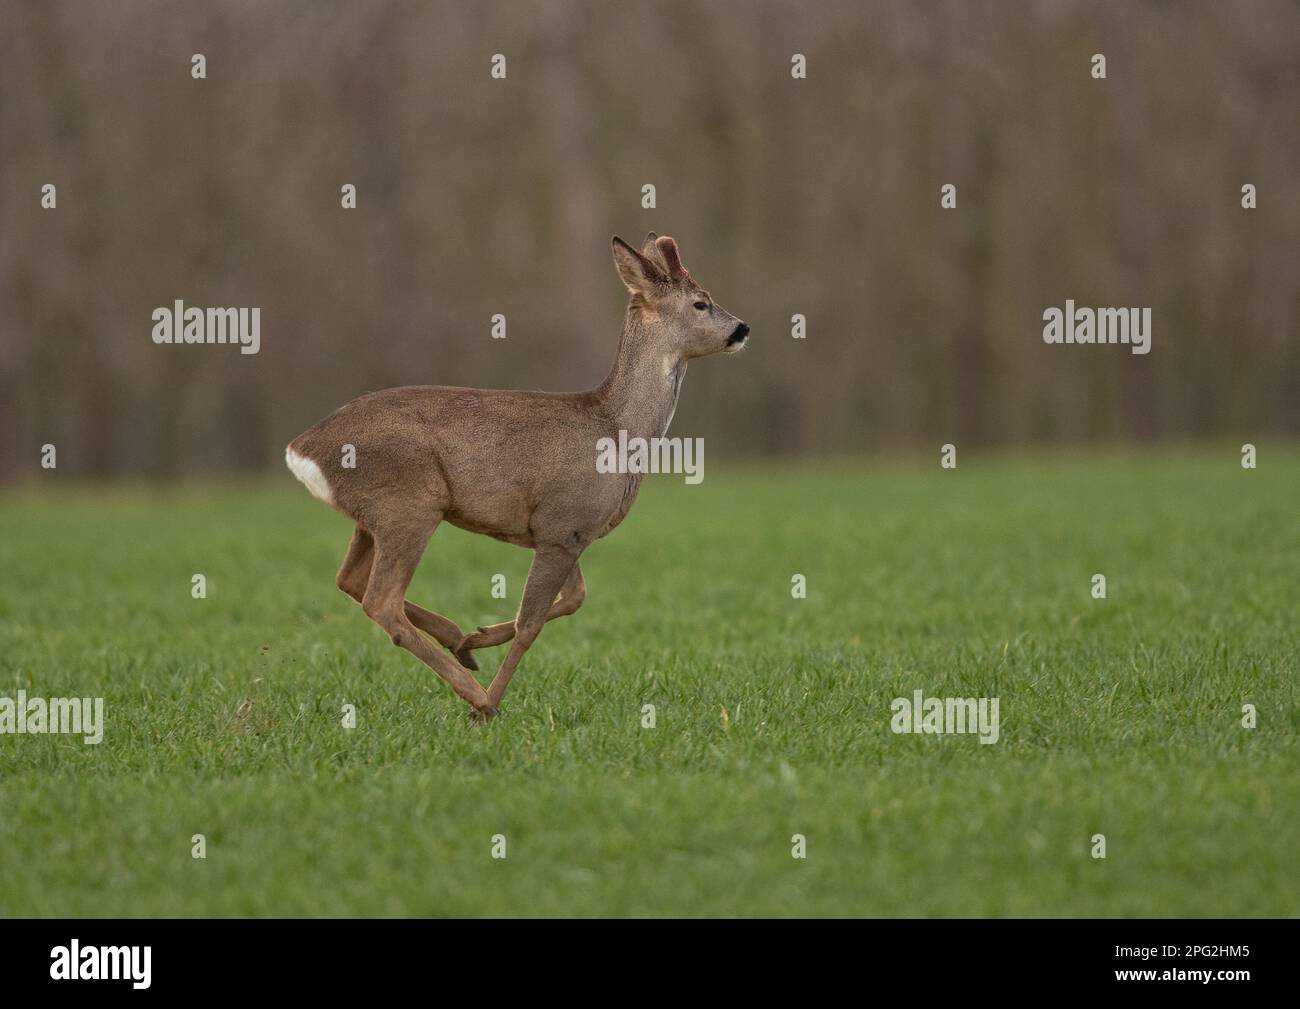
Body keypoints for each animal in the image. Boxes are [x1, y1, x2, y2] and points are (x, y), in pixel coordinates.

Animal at [285, 233, 749, 721]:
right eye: (701, 303)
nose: (742, 329)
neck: (617, 431)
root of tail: (301, 448)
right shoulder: (564, 524)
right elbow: (532, 624)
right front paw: (491, 700)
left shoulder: (564, 529)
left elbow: (574, 599)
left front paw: (478, 638)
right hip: (408, 504)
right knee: (380, 600)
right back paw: (474, 693)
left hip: (372, 517)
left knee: (349, 581)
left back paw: (459, 644)